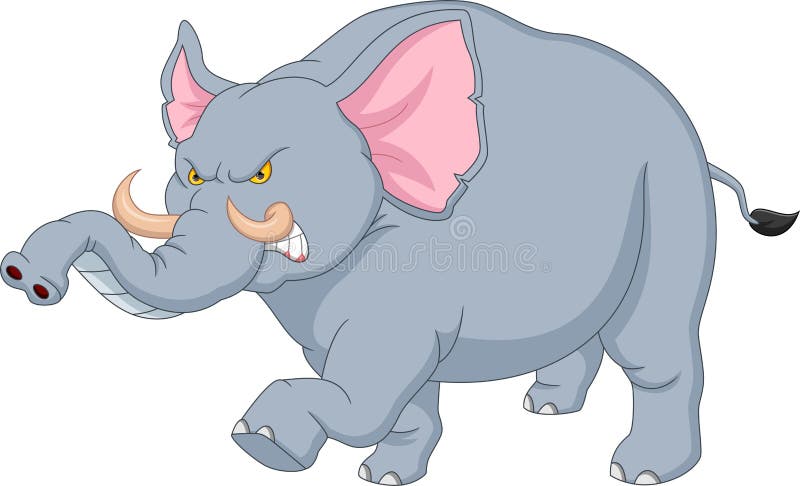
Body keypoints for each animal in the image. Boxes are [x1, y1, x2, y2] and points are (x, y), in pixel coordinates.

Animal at [2, 1, 797, 484]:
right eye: (189, 174)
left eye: (263, 175)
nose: (24, 276)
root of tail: (698, 139)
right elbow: (398, 392)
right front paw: (383, 477)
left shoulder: (408, 275)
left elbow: (369, 389)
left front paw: (260, 442)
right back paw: (544, 410)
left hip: (672, 198)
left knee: (651, 343)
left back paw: (640, 471)